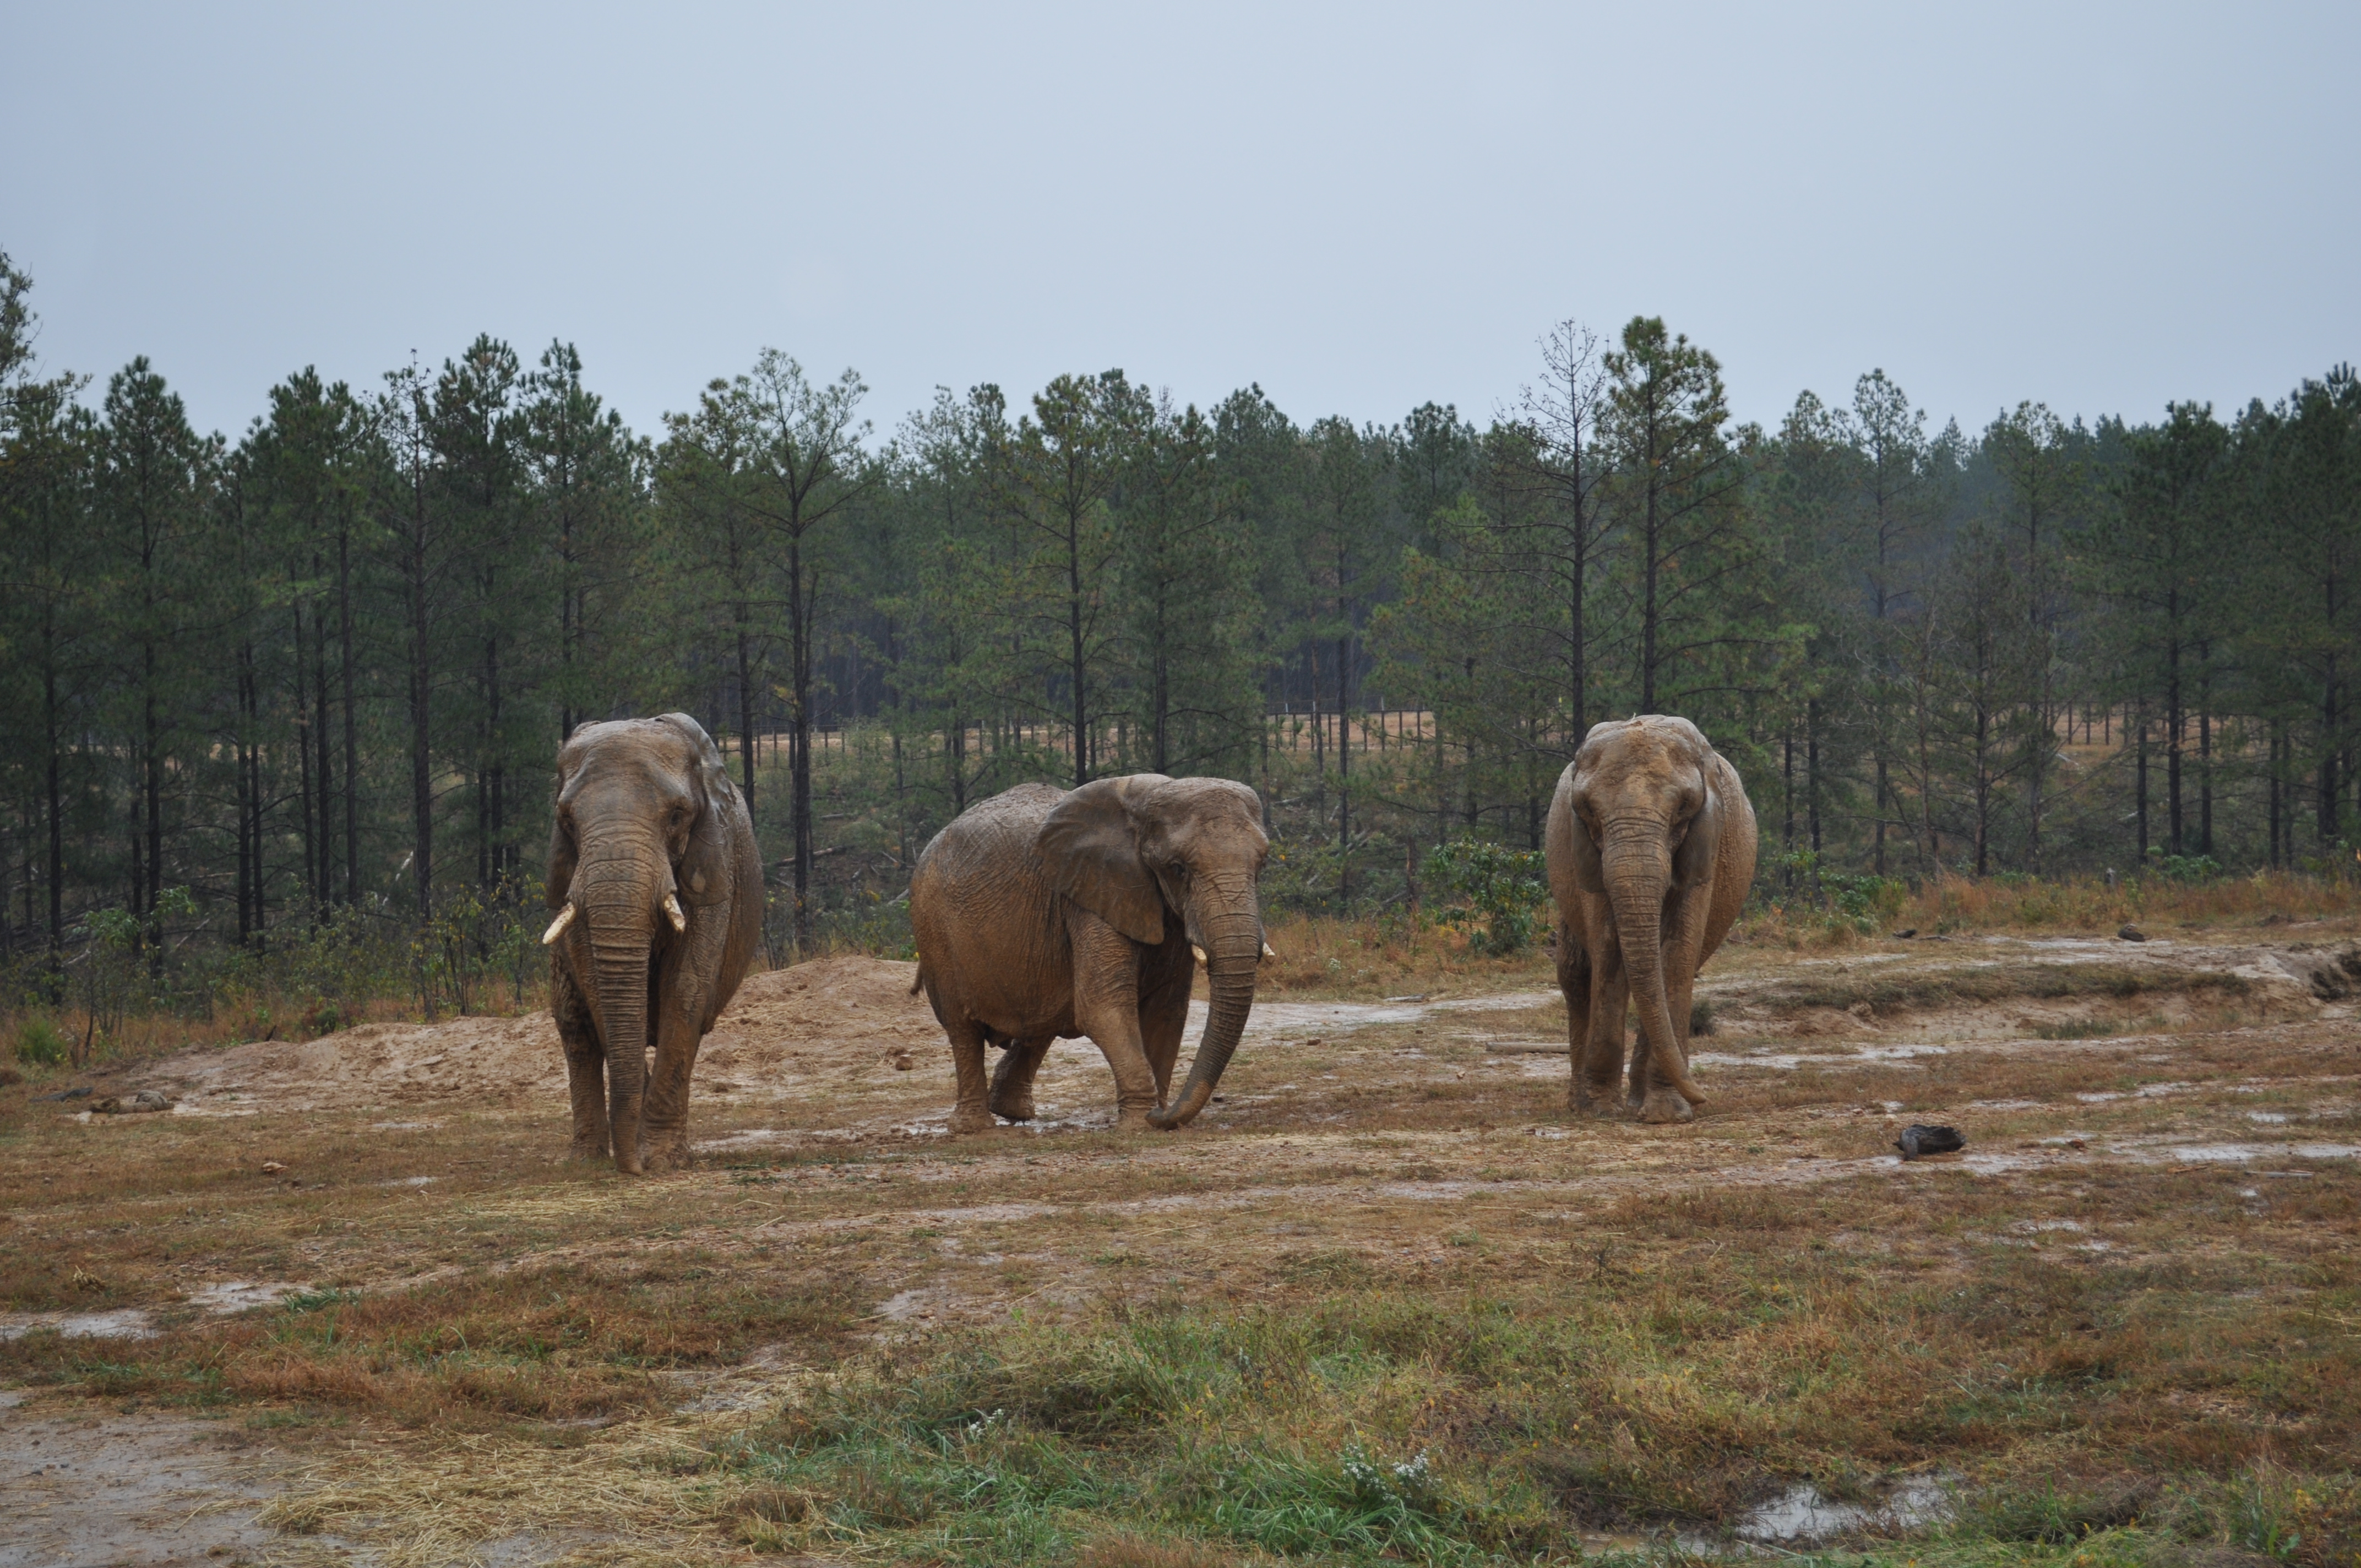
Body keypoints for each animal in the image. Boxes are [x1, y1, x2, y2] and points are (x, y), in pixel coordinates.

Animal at [542, 713, 762, 1174]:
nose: (634, 1169)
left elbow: (686, 988)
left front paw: (660, 1160)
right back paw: (586, 1159)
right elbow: (596, 987)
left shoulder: (715, 865)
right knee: (575, 1027)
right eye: (566, 820)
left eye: (677, 816)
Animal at [908, 774, 1270, 1133]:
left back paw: (1012, 1111)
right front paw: (1141, 1122)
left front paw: (1156, 1115)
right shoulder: (1094, 896)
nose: (1161, 1114)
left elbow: (1167, 1012)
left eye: (1261, 864)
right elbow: (1102, 1007)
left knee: (1040, 1022)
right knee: (963, 1029)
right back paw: (973, 1127)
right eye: (1178, 868)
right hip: (934, 929)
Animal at [1544, 715, 1757, 1124]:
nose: (1703, 1096)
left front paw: (1667, 1115)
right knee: (1576, 974)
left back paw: (1641, 1102)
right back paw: (1581, 1102)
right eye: (1588, 809)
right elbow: (1608, 947)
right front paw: (1599, 1110)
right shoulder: (1587, 853)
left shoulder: (1706, 842)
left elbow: (1678, 952)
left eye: (1683, 808)